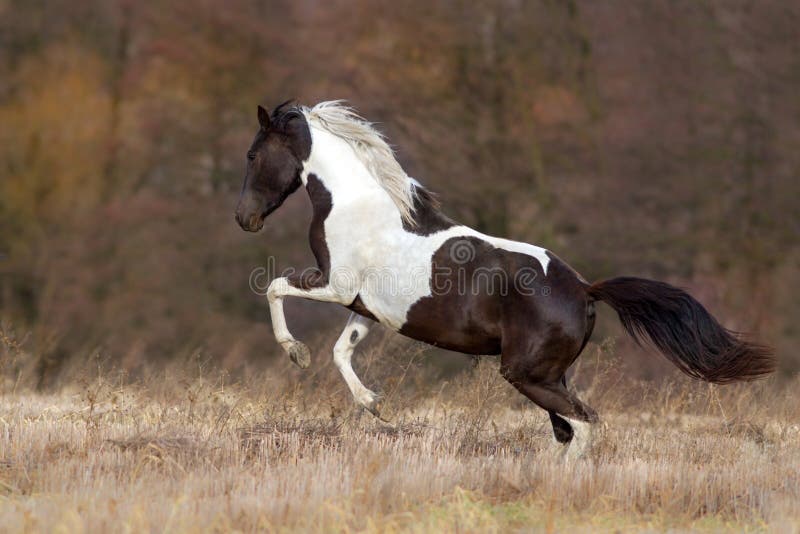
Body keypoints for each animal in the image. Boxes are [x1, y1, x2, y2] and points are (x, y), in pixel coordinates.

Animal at [235, 100, 775, 459]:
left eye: (253, 155)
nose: (244, 219)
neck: (356, 203)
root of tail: (585, 289)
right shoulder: (367, 307)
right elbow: (340, 350)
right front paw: (374, 406)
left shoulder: (336, 285)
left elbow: (274, 287)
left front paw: (295, 354)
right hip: (548, 374)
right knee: (568, 428)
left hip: (526, 373)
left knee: (584, 424)